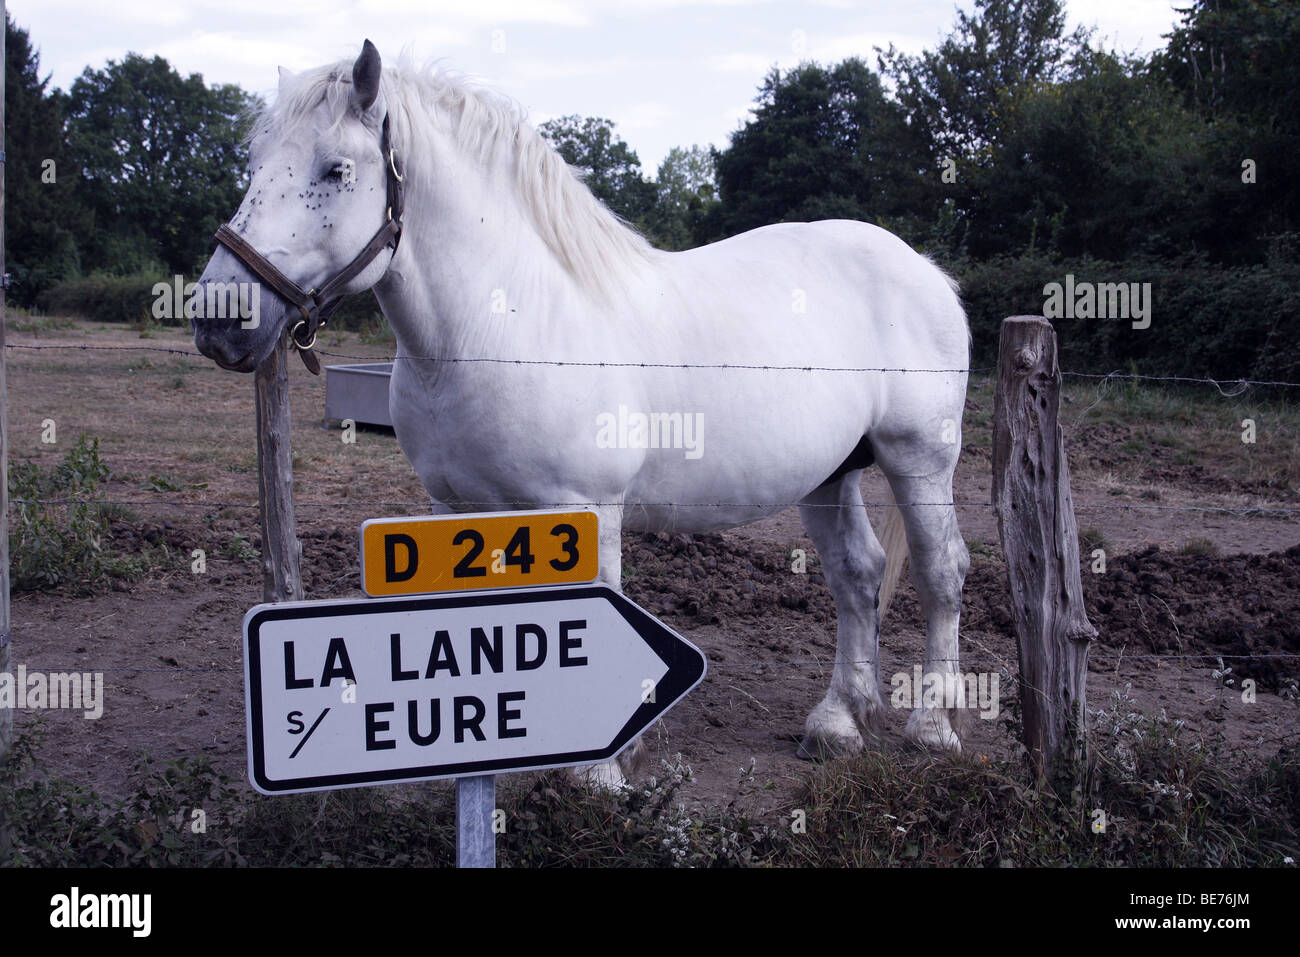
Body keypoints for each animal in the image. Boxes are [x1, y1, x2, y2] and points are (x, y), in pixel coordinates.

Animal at [192, 40, 971, 786]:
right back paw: (838, 720)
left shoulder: (588, 508)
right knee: (858, 576)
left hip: (919, 461)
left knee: (941, 573)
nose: (218, 318)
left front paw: (596, 773)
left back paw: (932, 727)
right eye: (255, 163)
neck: (502, 323)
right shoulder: (461, 510)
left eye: (336, 170)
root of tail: (928, 272)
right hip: (829, 476)